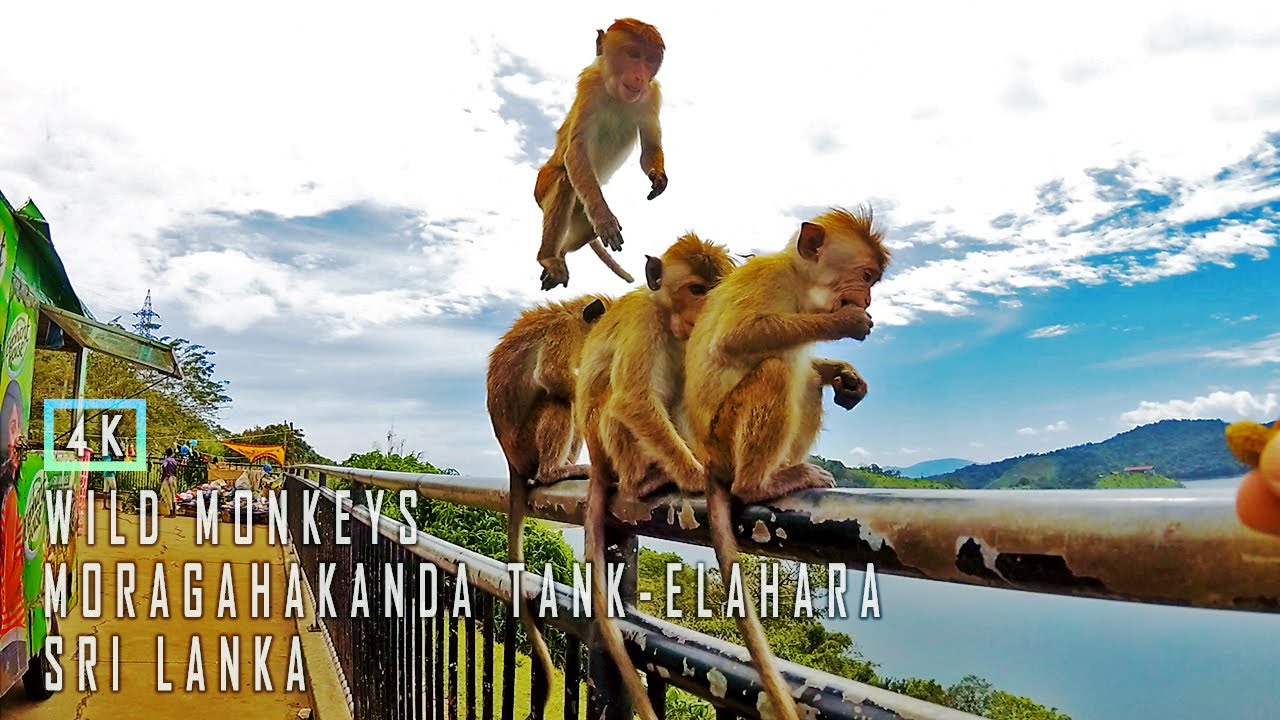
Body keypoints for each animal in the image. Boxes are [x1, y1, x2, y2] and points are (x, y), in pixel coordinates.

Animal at [484, 293, 612, 720]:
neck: (575, 318)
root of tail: (512, 461)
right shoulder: (562, 335)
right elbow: (555, 377)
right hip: (527, 446)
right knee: (559, 401)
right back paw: (554, 472)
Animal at [534, 18, 667, 291]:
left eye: (649, 60)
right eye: (633, 54)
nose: (640, 75)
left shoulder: (652, 94)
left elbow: (649, 147)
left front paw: (658, 177)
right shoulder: (590, 85)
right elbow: (575, 152)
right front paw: (605, 219)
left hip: (581, 215)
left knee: (585, 230)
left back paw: (561, 254)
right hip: (543, 188)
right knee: (564, 180)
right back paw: (548, 257)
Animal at [574, 233, 735, 720]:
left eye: (712, 292)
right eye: (695, 290)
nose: (703, 313)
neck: (668, 316)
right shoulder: (644, 324)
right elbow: (632, 399)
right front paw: (697, 476)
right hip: (606, 445)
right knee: (617, 403)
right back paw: (647, 481)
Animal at [682, 207, 890, 720]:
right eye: (865, 277)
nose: (868, 298)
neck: (799, 283)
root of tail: (710, 460)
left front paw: (845, 375)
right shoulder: (766, 281)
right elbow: (736, 340)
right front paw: (845, 323)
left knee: (804, 381)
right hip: (726, 437)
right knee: (778, 368)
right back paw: (760, 484)